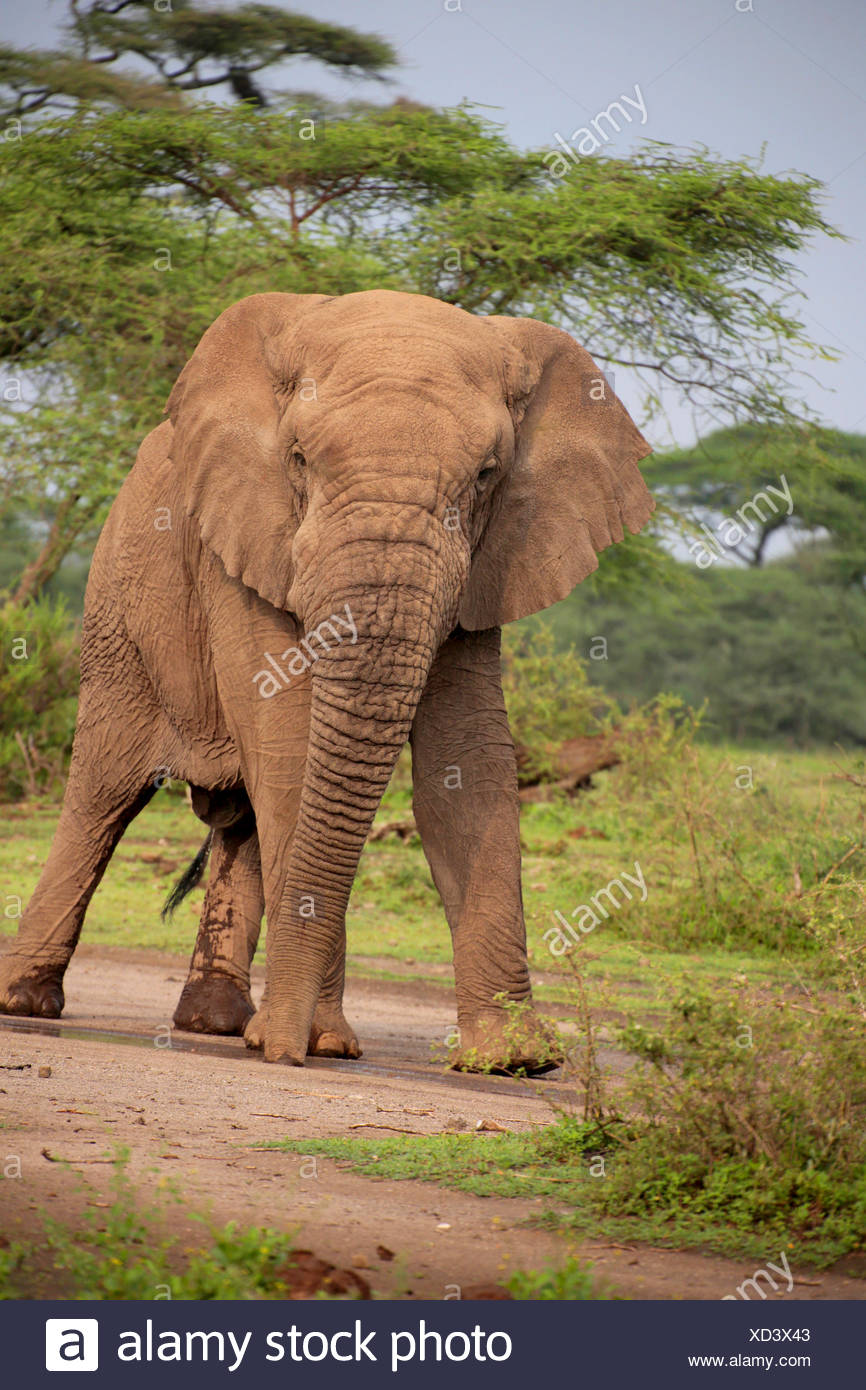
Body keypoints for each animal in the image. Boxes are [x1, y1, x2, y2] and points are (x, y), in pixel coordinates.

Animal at [0, 289, 653, 1069]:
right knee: (103, 794)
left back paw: (218, 1021)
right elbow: (288, 735)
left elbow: (469, 763)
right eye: (300, 459)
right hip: (119, 622)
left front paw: (513, 1059)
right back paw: (28, 1002)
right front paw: (321, 1041)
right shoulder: (242, 538)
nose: (280, 1052)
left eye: (487, 475)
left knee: (237, 818)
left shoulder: (488, 565)